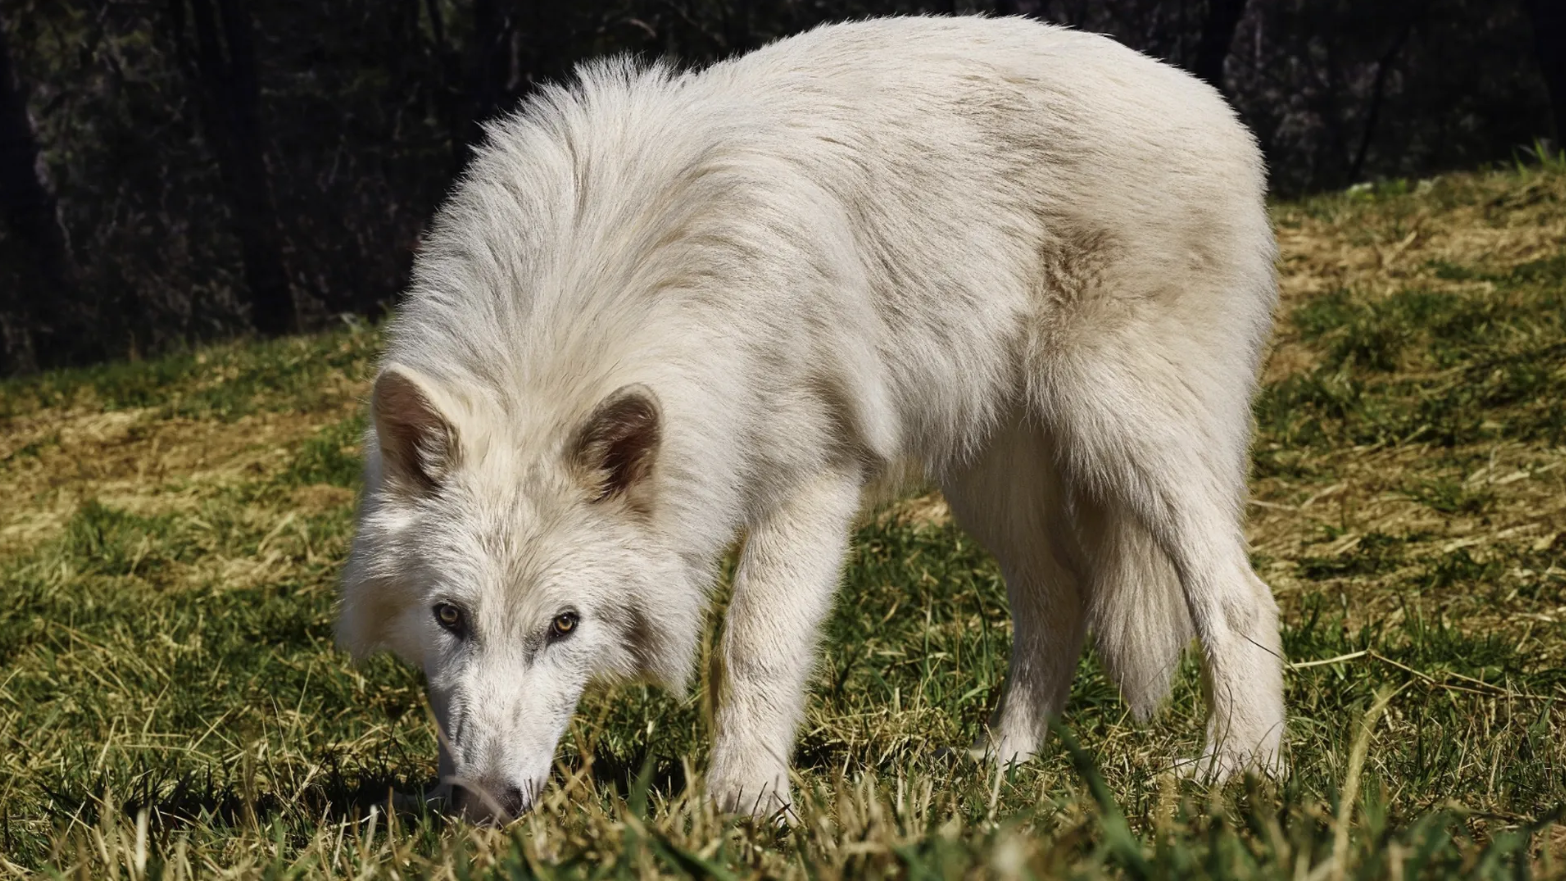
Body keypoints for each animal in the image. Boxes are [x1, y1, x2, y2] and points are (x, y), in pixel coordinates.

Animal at [337, 14, 1285, 823]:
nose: (482, 806)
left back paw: (1240, 766)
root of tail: (1212, 105)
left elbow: (755, 644)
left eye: (564, 625)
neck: (593, 292)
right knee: (1060, 596)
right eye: (449, 616)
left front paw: (748, 804)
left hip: (1124, 434)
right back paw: (1005, 764)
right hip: (990, 480)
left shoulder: (815, 477)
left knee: (1238, 593)